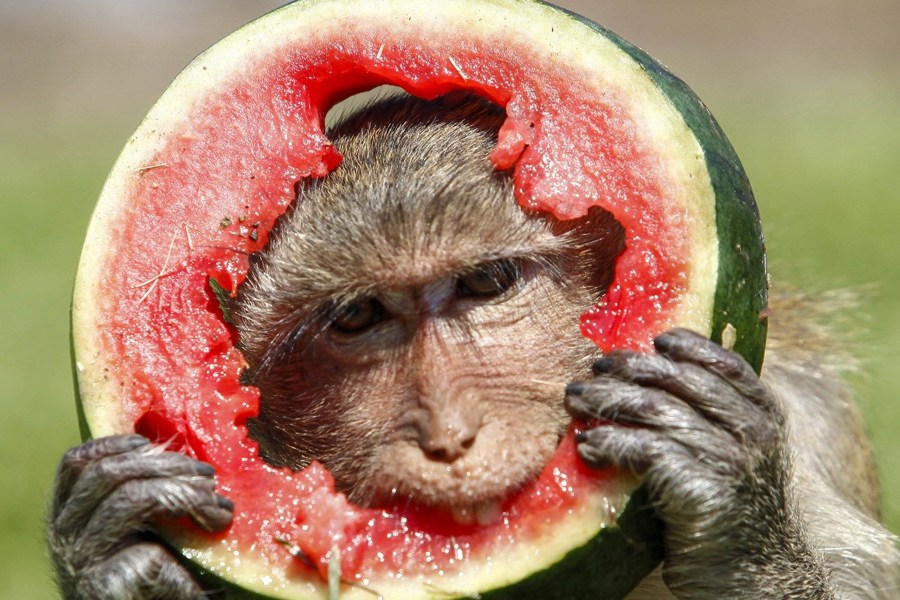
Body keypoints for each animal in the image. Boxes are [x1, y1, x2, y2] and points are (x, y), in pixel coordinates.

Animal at [48, 92, 899, 599]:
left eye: (487, 281)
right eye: (358, 315)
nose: (448, 436)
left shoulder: (804, 418)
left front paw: (734, 508)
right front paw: (108, 553)